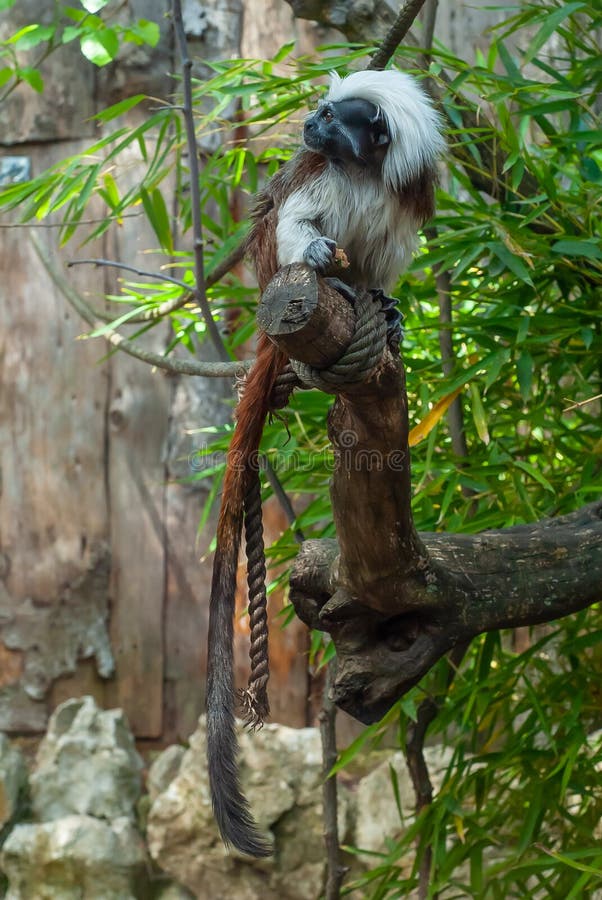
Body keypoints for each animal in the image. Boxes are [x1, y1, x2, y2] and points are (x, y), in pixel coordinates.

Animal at [206, 68, 444, 857]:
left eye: (333, 117)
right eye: (313, 114)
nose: (309, 124)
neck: (365, 170)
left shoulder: (405, 193)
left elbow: (392, 250)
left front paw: (385, 301)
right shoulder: (319, 178)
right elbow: (297, 225)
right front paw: (318, 262)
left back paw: (371, 302)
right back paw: (333, 288)